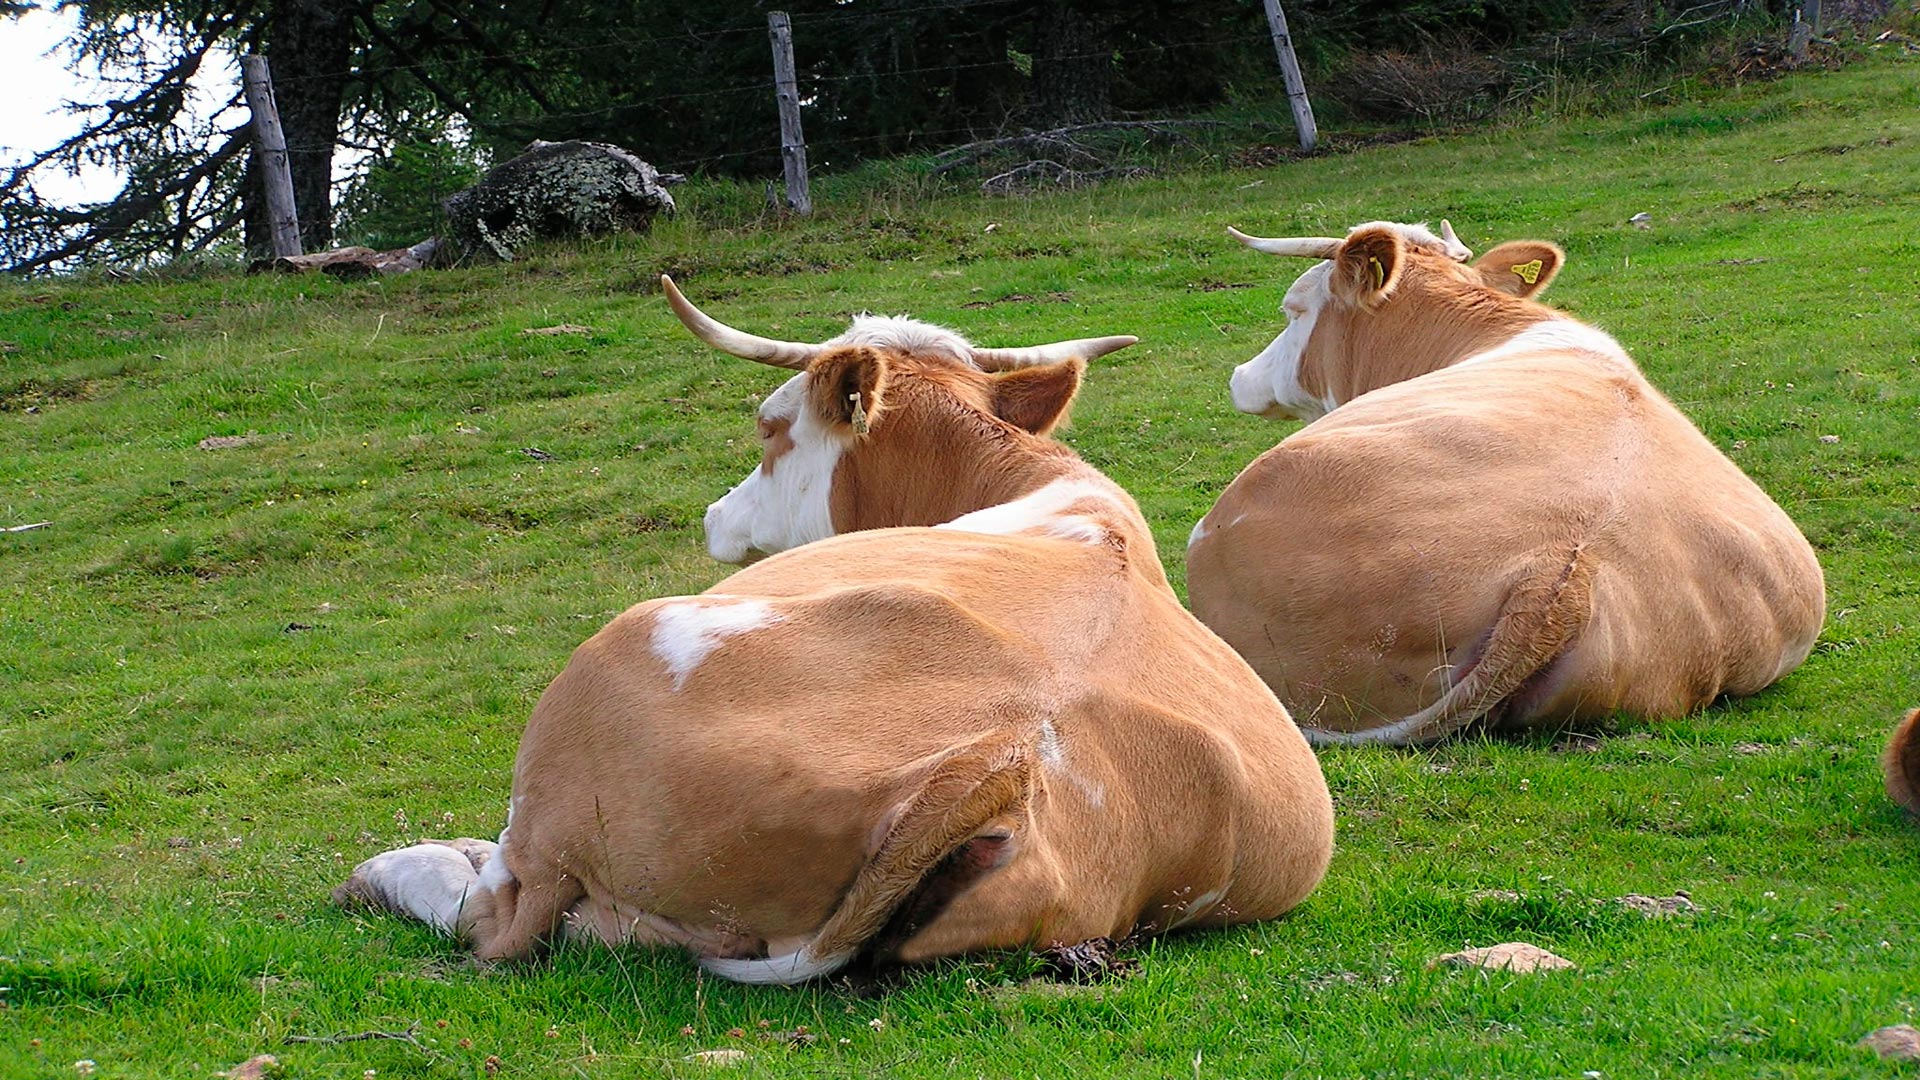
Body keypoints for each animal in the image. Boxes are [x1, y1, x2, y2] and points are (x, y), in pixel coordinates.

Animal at [334, 278, 1334, 983]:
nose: (715, 517)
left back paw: (398, 867)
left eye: (770, 428)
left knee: (501, 911)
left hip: (600, 690)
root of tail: (1002, 755)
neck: (1042, 486)